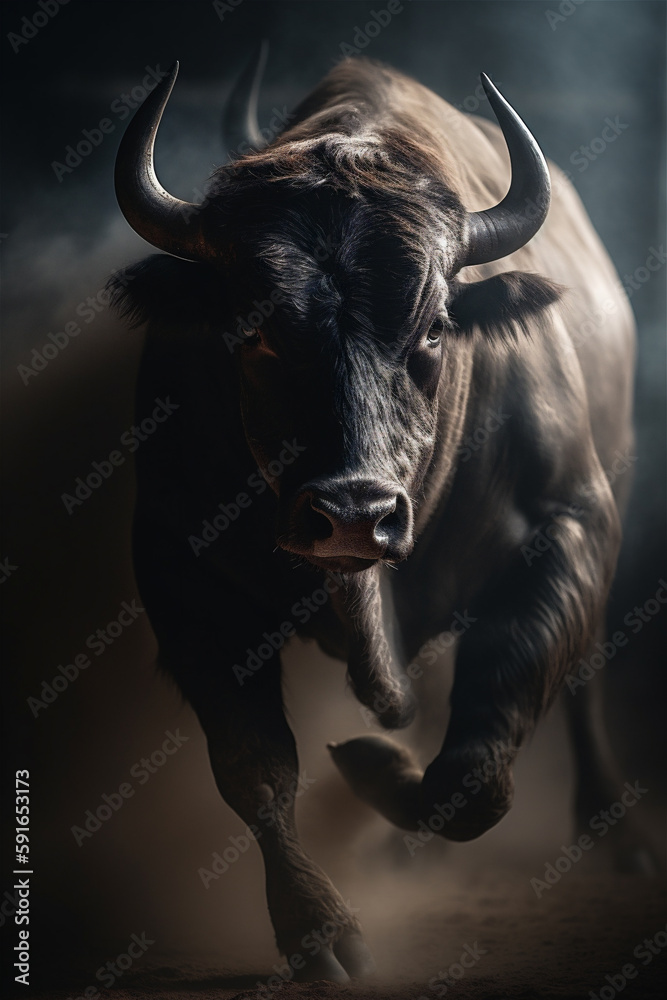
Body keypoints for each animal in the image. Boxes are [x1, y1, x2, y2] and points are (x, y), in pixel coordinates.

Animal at [108, 53, 640, 982]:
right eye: (254, 331)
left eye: (432, 329)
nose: (354, 513)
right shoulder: (178, 568)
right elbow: (253, 768)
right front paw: (316, 928)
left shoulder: (568, 524)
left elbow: (478, 765)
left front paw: (371, 769)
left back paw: (609, 835)